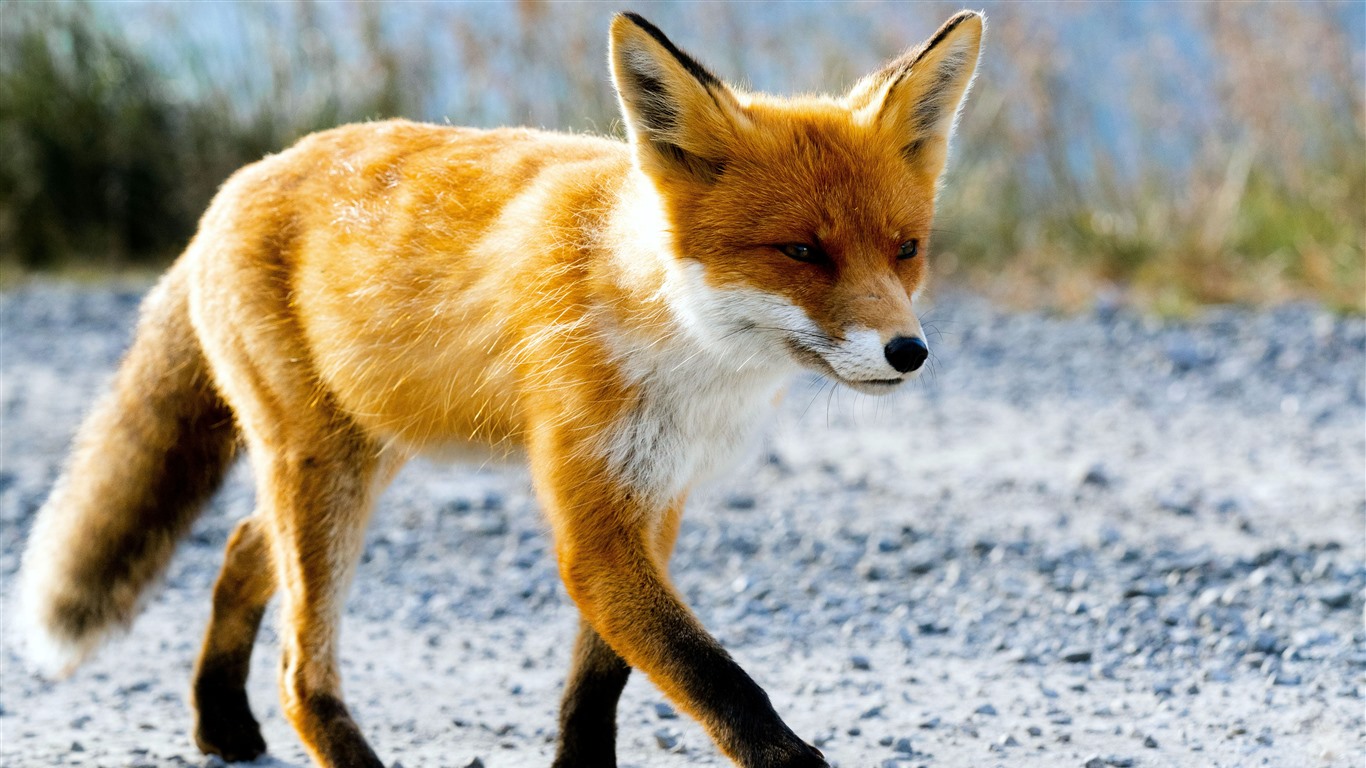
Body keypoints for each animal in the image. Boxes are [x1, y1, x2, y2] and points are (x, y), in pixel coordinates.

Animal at [17, 10, 983, 768]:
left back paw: (221, 725)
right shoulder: (594, 517)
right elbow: (716, 680)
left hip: (359, 456)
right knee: (298, 665)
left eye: (905, 249)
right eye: (802, 252)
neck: (677, 340)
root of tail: (238, 181)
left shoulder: (655, 497)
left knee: (242, 550)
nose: (910, 351)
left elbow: (602, 679)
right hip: (326, 473)